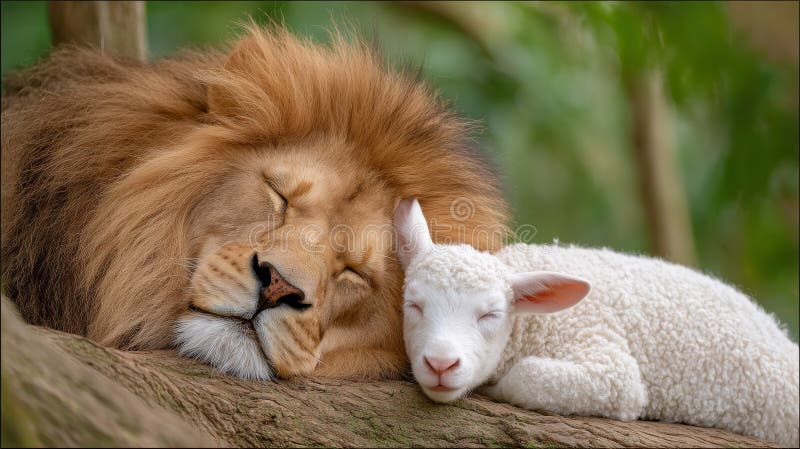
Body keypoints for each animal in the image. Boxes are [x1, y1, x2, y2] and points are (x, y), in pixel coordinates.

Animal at [394, 198, 799, 446]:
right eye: (413, 304)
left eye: (490, 314)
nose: (441, 364)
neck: (533, 324)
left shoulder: (608, 362)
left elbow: (530, 376)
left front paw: (499, 387)